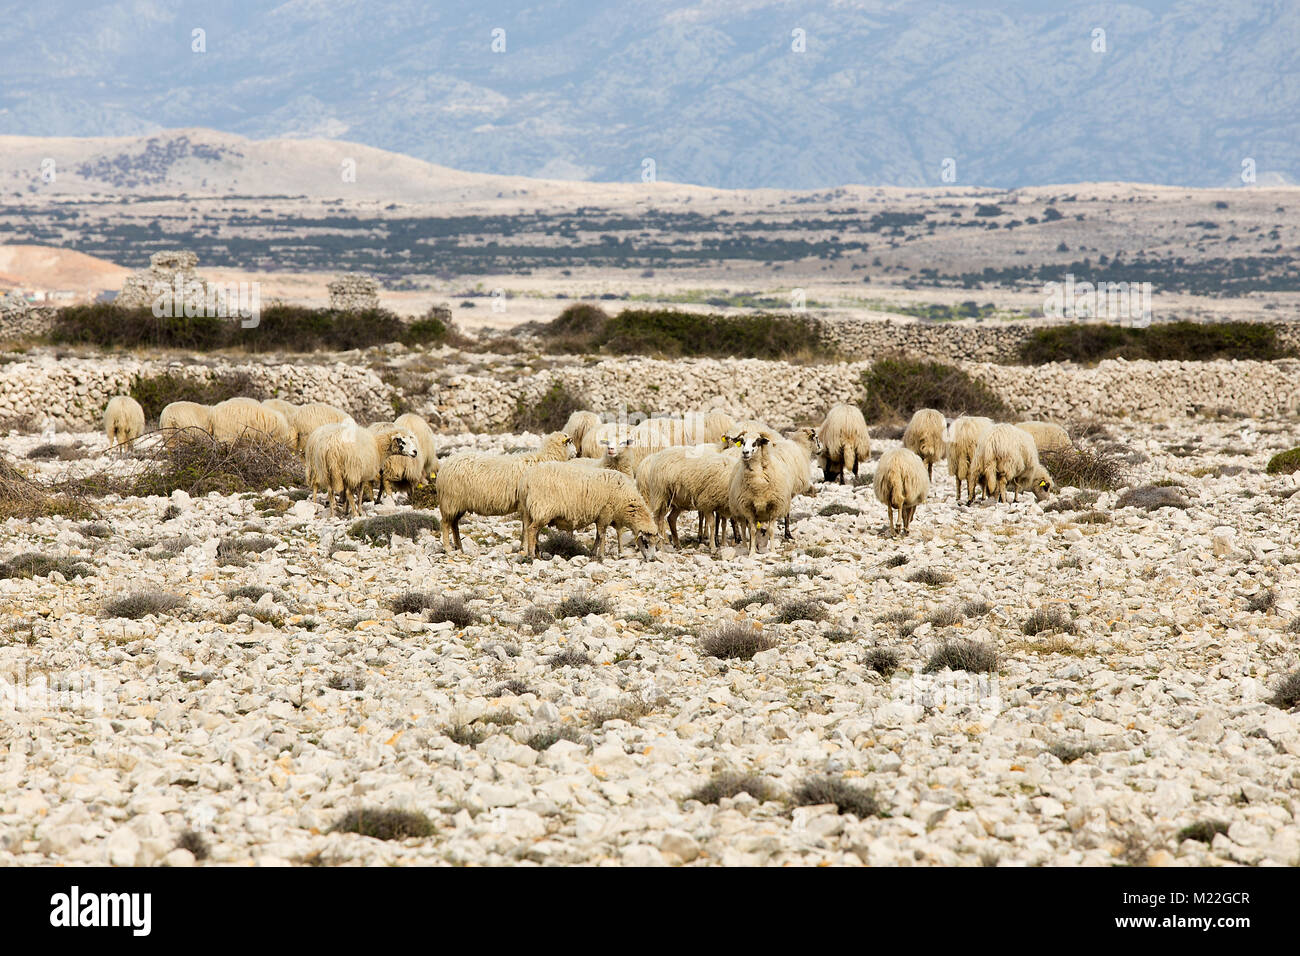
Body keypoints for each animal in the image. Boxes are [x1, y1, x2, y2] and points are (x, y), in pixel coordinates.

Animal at [437, 431, 575, 551]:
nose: (576, 452)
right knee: (445, 523)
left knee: (454, 524)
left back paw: (459, 546)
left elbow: (527, 527)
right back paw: (448, 548)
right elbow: (526, 527)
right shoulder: (525, 505)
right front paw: (526, 547)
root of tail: (445, 465)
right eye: (570, 442)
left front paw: (529, 547)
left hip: (458, 503)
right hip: (450, 500)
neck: (544, 459)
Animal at [519, 462, 658, 561]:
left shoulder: (603, 517)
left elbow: (601, 536)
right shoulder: (605, 513)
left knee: (533, 532)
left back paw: (537, 555)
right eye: (645, 542)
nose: (651, 559)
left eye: (655, 544)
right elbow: (602, 535)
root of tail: (526, 481)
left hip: (530, 511)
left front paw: (595, 553)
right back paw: (531, 556)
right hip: (543, 509)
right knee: (532, 531)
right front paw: (601, 556)